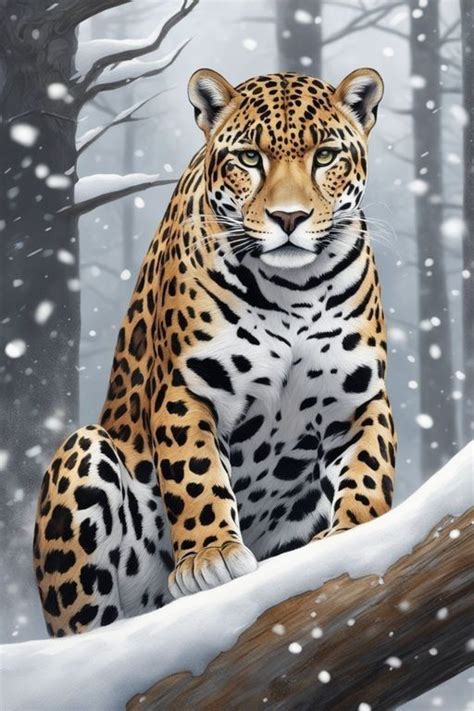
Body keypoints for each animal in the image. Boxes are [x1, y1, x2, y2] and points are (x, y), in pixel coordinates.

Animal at [33, 67, 397, 636]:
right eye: (249, 158)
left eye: (325, 156)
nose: (288, 218)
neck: (294, 290)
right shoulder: (188, 389)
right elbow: (196, 474)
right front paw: (211, 555)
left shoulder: (357, 396)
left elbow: (369, 466)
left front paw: (355, 530)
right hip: (83, 454)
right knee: (85, 625)